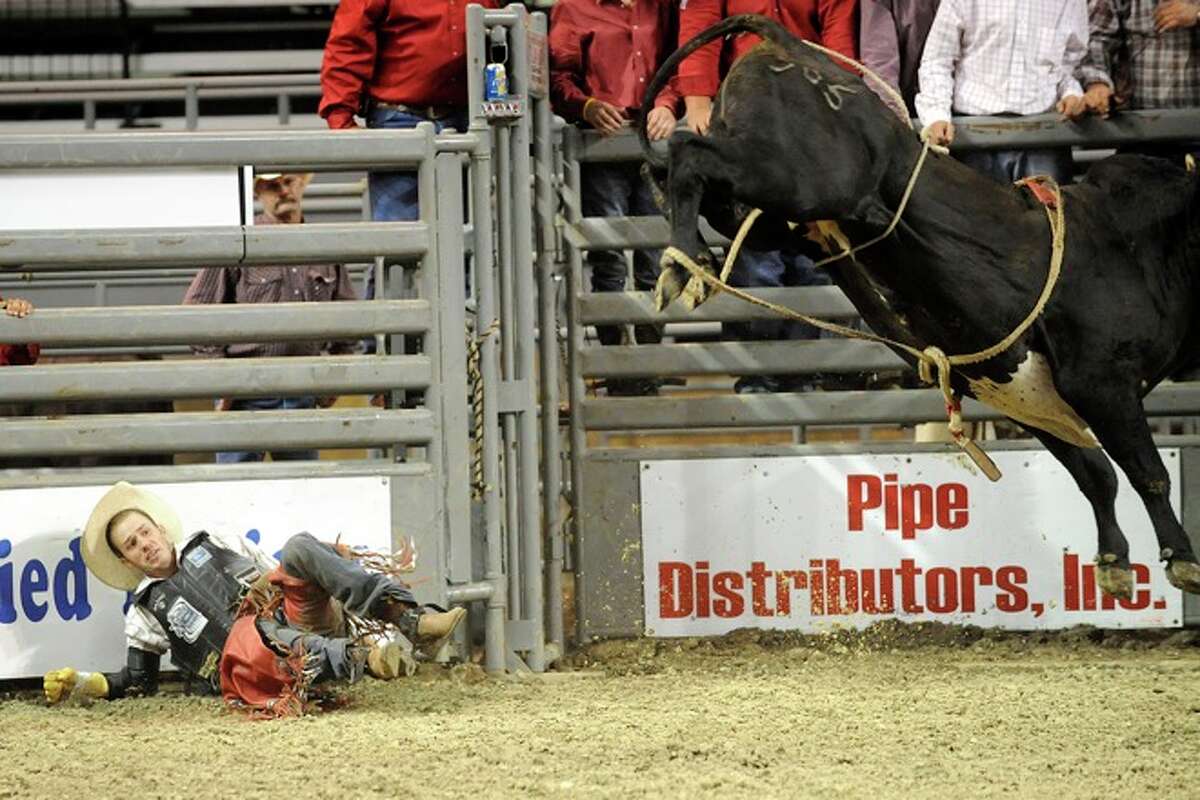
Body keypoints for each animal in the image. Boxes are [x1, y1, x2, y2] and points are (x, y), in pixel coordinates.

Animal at [637, 14, 1200, 599]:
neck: (1149, 241)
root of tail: (787, 45)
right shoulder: (1101, 382)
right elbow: (1145, 471)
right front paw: (1180, 557)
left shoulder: (1023, 392)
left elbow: (1095, 472)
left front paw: (1114, 561)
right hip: (801, 178)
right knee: (690, 153)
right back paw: (682, 262)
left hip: (770, 210)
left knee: (701, 175)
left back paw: (689, 255)